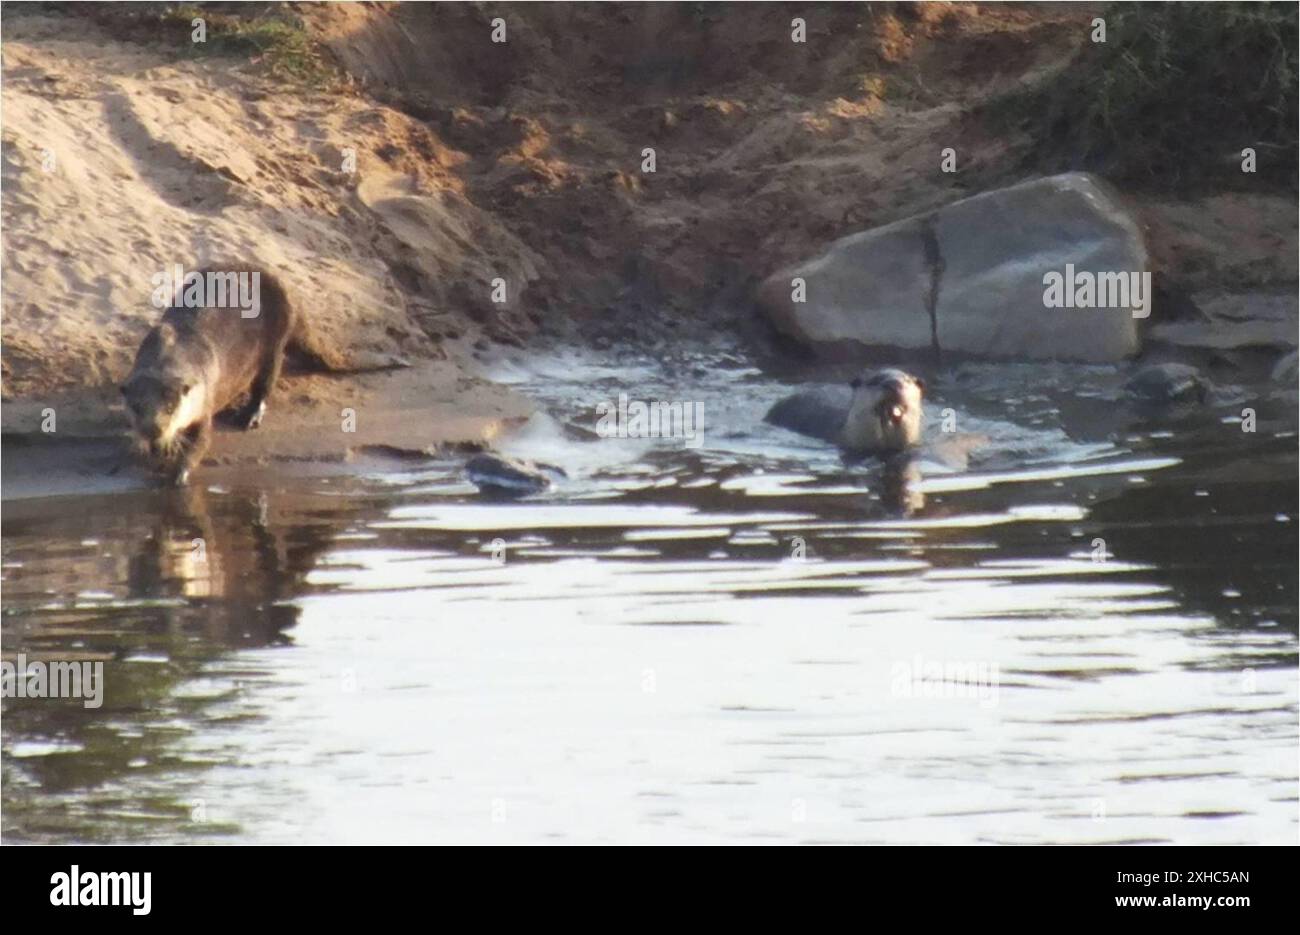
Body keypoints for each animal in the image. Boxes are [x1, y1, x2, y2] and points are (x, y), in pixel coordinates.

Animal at [121, 267, 314, 485]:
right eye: (136, 408)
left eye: (171, 408)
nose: (153, 431)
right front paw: (156, 446)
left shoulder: (204, 399)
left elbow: (201, 443)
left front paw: (180, 476)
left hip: (276, 339)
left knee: (266, 380)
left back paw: (251, 415)